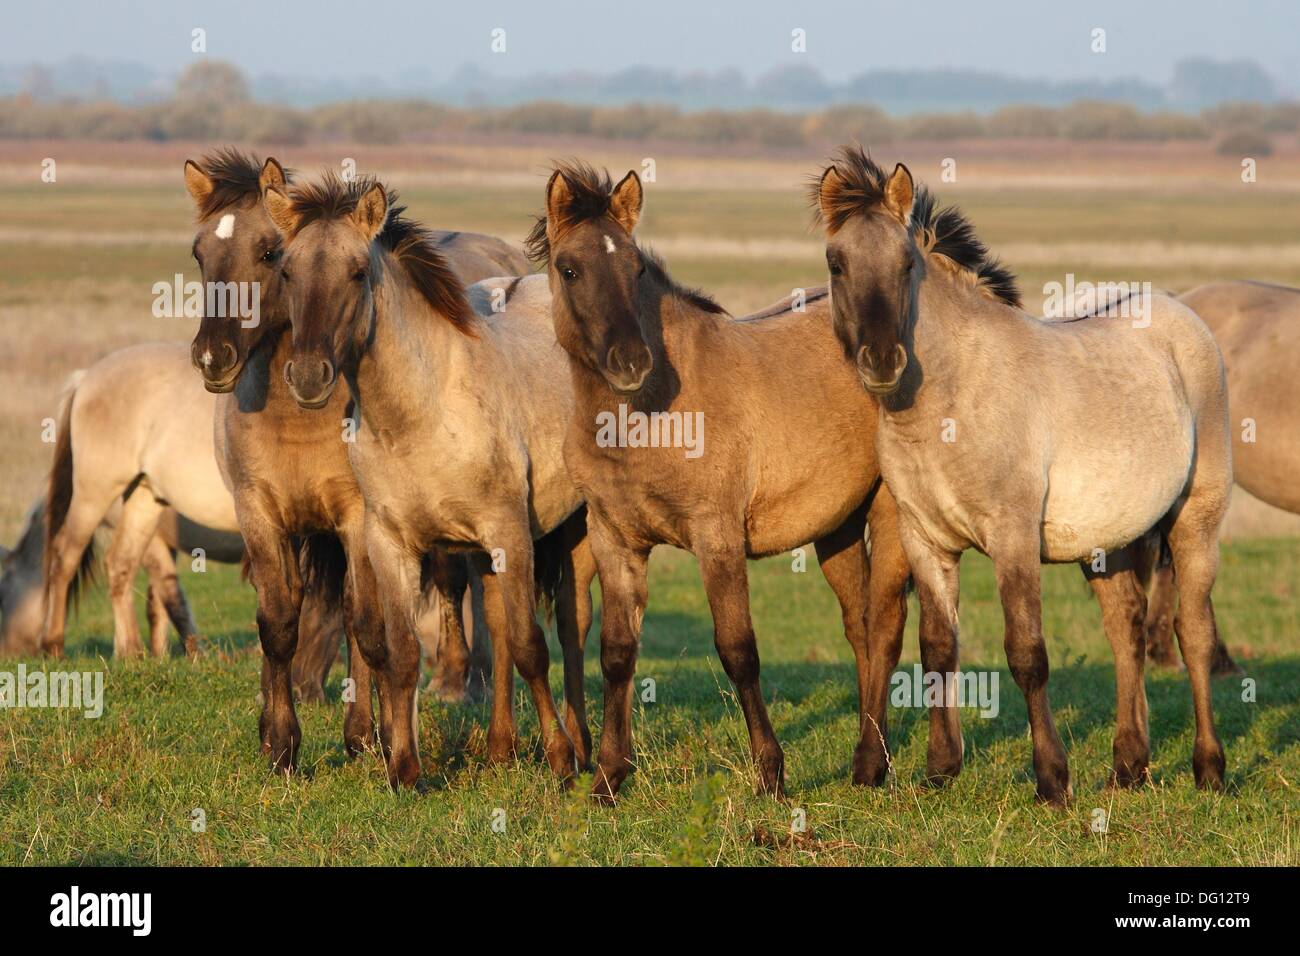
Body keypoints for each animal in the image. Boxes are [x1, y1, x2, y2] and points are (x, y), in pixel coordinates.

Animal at [184, 150, 528, 769]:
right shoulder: (260, 515)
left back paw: (465, 681)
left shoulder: (360, 518)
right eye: (200, 253)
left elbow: (365, 624)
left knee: (465, 585)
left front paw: (369, 735)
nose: (212, 356)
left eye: (269, 253)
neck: (295, 420)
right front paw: (279, 742)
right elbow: (278, 622)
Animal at [263, 171, 594, 788]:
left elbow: (533, 647)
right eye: (287, 270)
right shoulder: (390, 544)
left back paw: (582, 746)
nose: (309, 376)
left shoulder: (509, 533)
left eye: (357, 271)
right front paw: (404, 768)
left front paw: (561, 761)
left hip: (576, 531)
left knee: (571, 628)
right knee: (500, 629)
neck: (421, 413)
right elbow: (402, 656)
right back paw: (500, 748)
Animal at [528, 161, 914, 801]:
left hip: (889, 516)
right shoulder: (615, 541)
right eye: (569, 268)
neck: (649, 414)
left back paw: (872, 763)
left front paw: (771, 772)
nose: (631, 361)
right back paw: (871, 751)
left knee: (885, 625)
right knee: (860, 630)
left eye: (635, 267)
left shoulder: (717, 537)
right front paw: (608, 775)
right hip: (836, 529)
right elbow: (616, 654)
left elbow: (738, 651)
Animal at [814, 147, 1230, 804]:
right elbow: (938, 648)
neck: (949, 405)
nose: (882, 362)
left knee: (1193, 631)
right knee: (1126, 628)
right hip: (1107, 541)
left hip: (1196, 523)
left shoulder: (1012, 538)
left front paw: (1052, 779)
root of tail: (1176, 311)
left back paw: (1209, 768)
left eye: (905, 264)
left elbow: (1027, 653)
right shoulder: (926, 541)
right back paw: (1127, 766)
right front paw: (940, 769)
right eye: (837, 263)